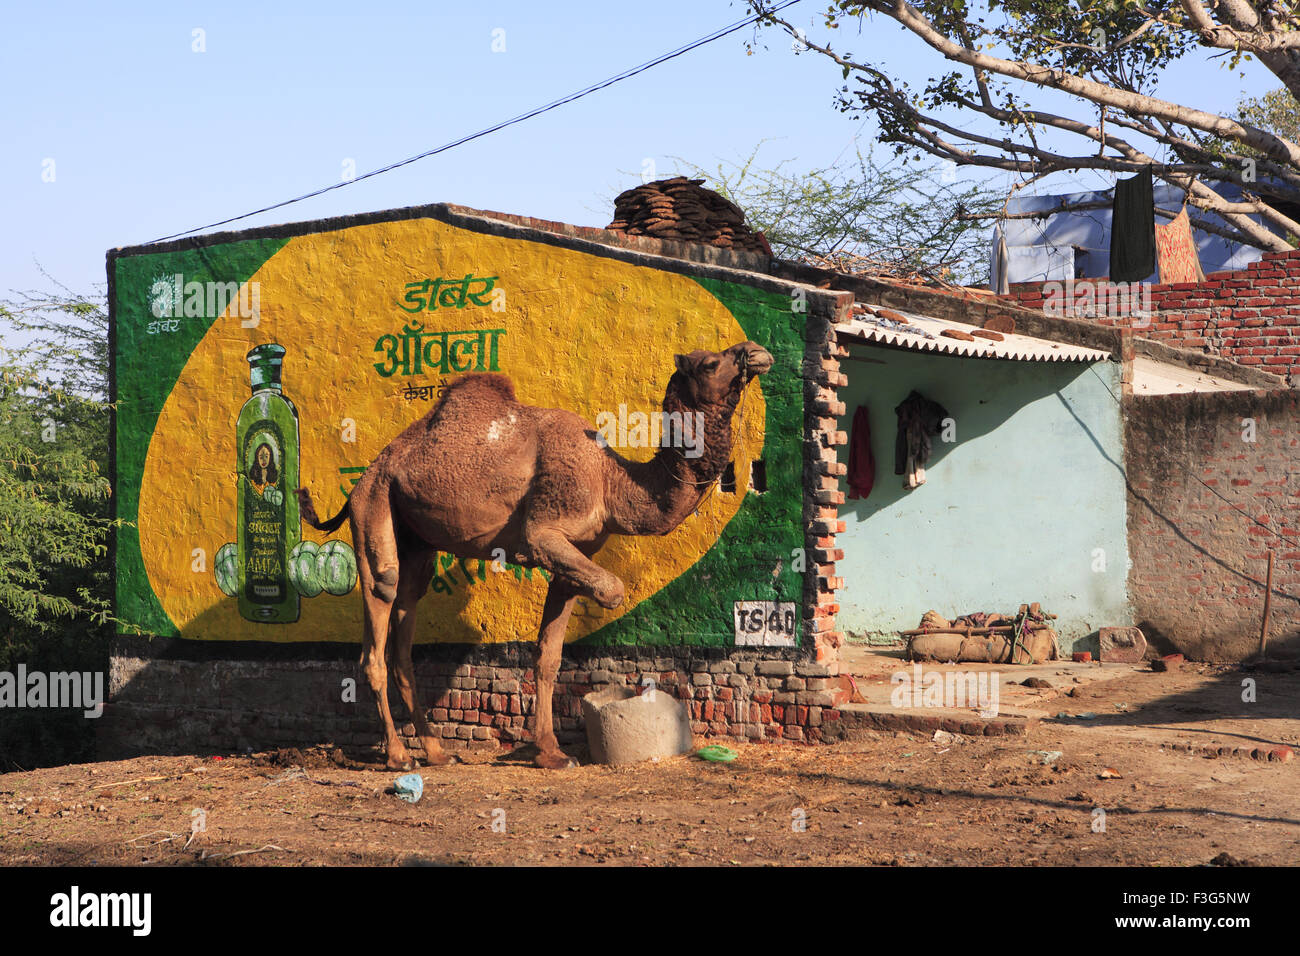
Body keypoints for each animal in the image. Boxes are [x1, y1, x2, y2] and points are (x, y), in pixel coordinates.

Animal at [297, 340, 773, 770]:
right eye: (711, 362)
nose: (755, 351)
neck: (610, 481)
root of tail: (365, 477)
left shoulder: (574, 558)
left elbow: (548, 656)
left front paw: (551, 754)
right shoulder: (544, 532)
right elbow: (612, 590)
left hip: (415, 538)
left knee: (406, 620)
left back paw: (436, 752)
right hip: (373, 506)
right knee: (380, 611)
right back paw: (398, 757)